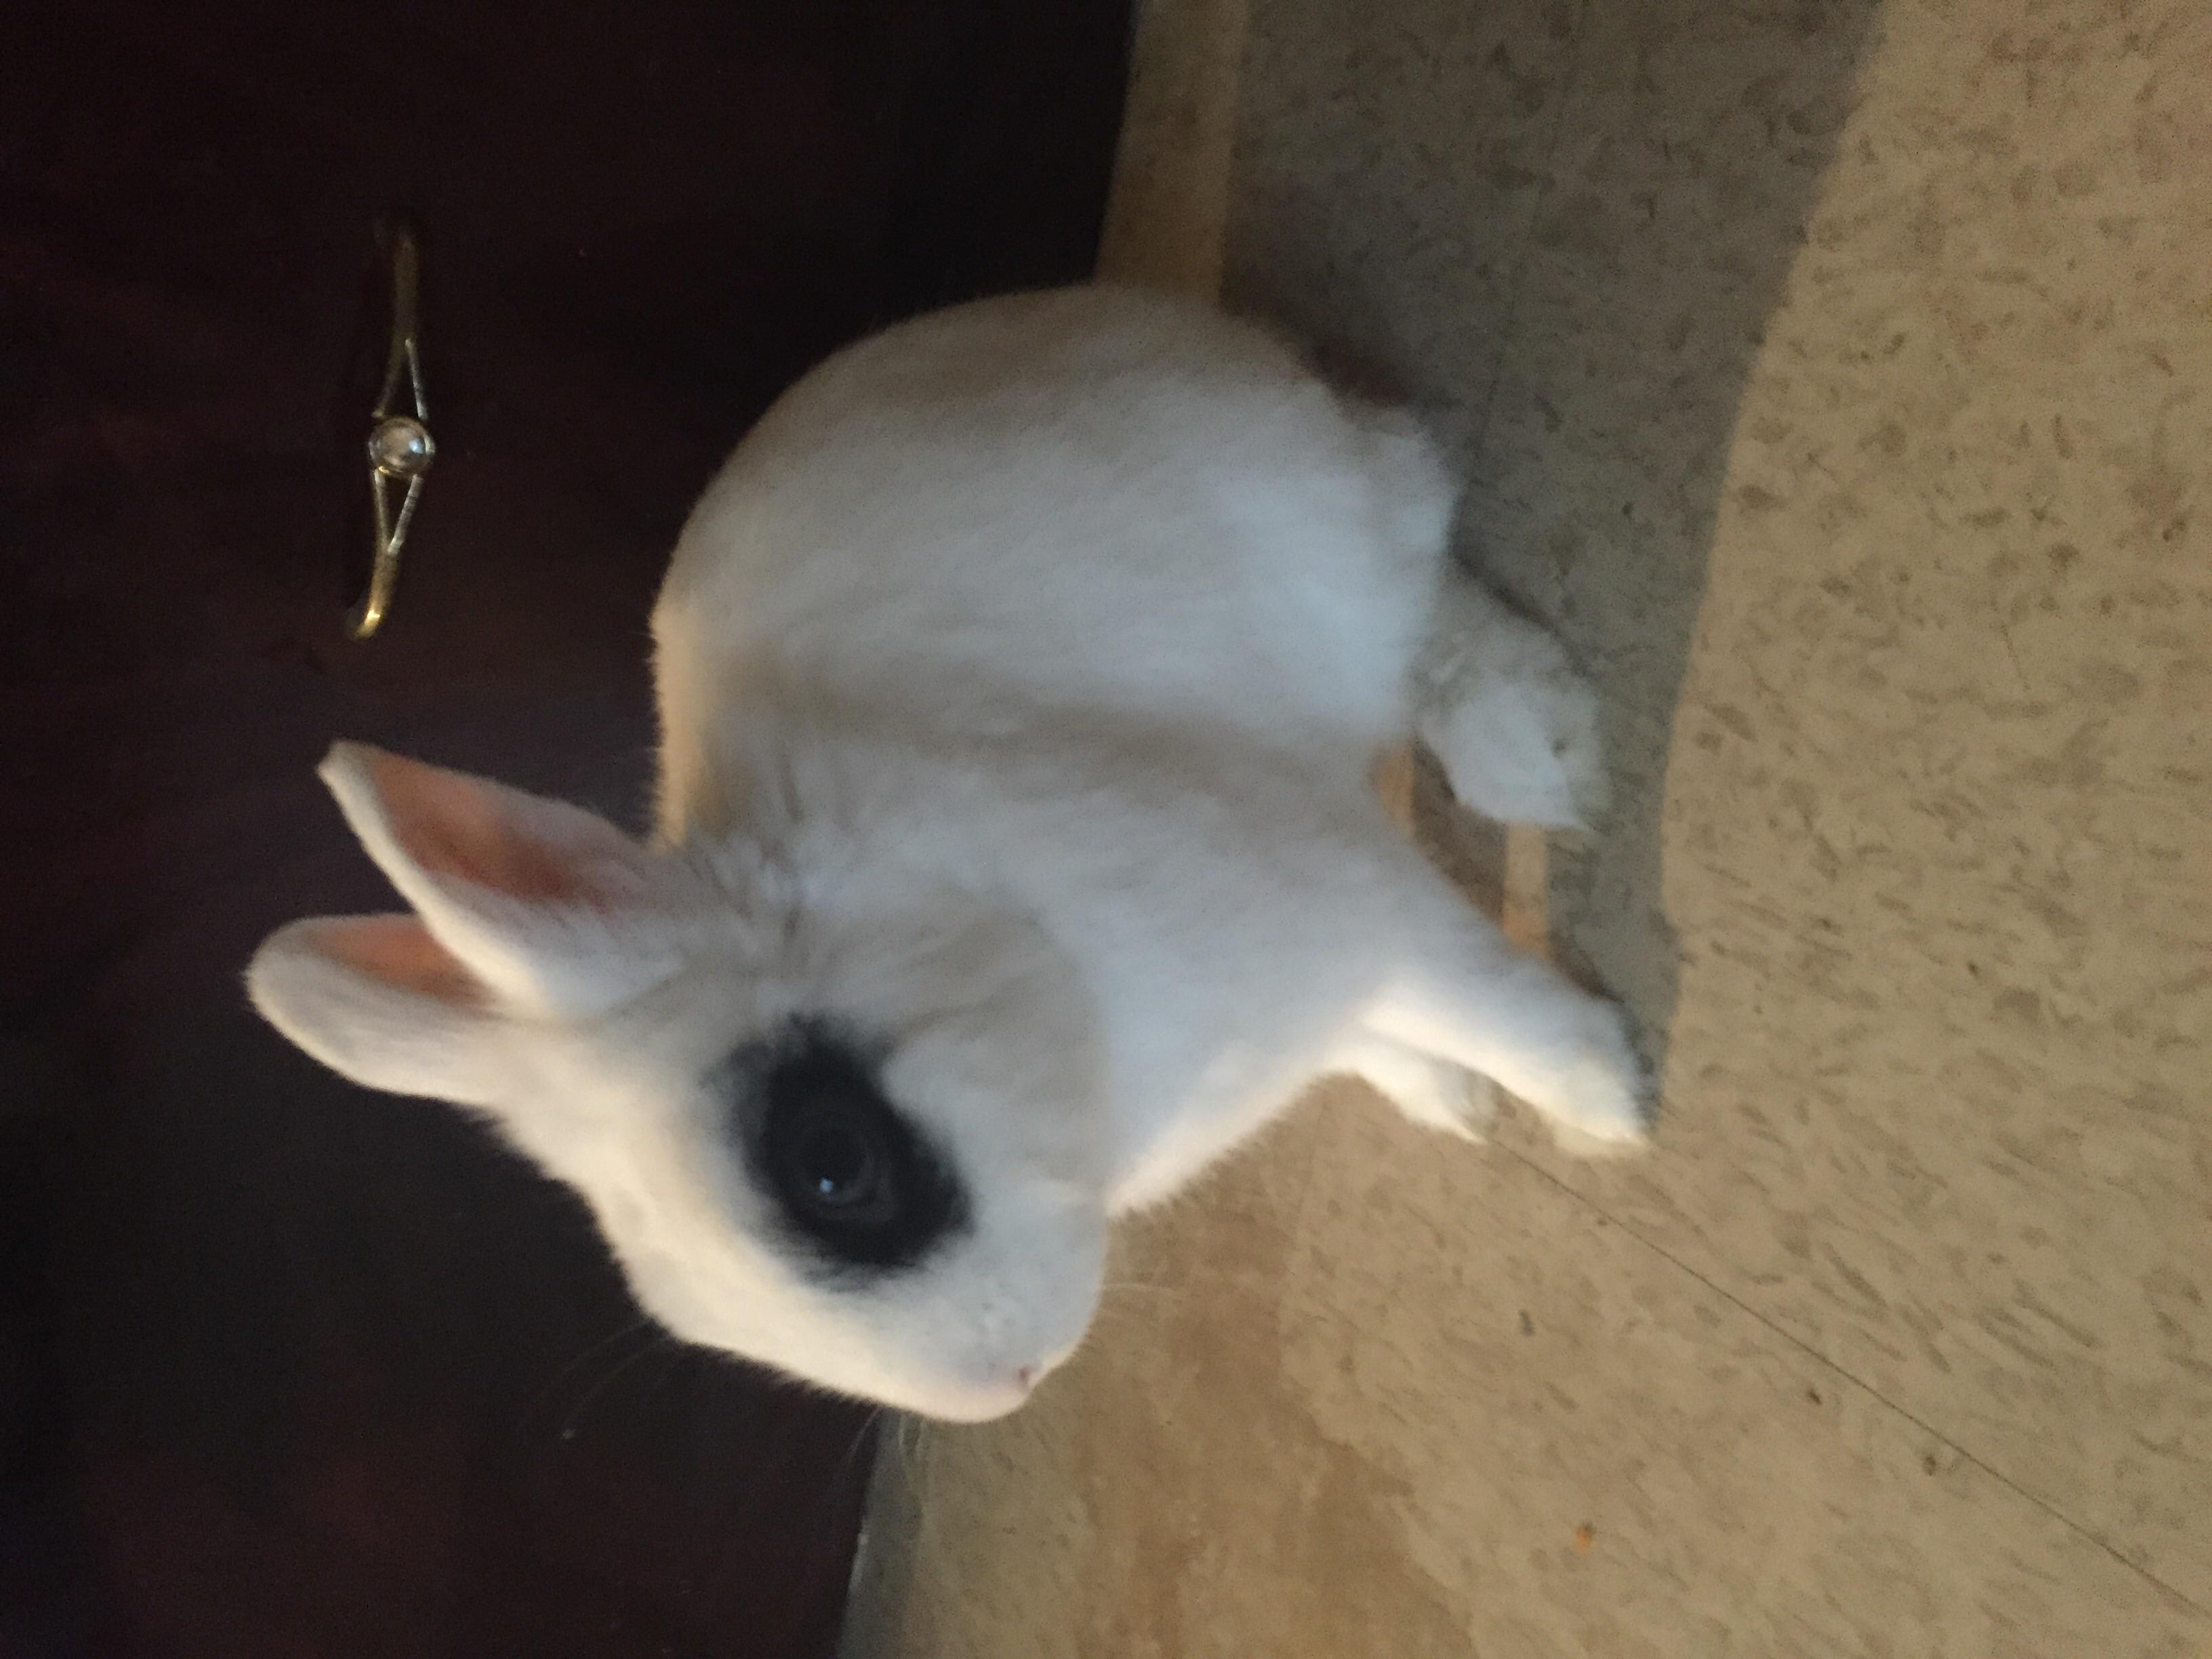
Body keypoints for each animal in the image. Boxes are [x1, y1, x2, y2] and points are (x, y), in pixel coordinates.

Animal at [248, 285, 1648, 1423]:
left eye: (833, 1162)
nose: (1007, 1382)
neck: (1034, 965)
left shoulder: (1332, 890)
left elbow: (1494, 1003)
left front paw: (1608, 1110)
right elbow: (1391, 1029)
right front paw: (1451, 1096)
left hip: (1324, 522)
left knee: (1427, 577)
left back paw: (1532, 750)